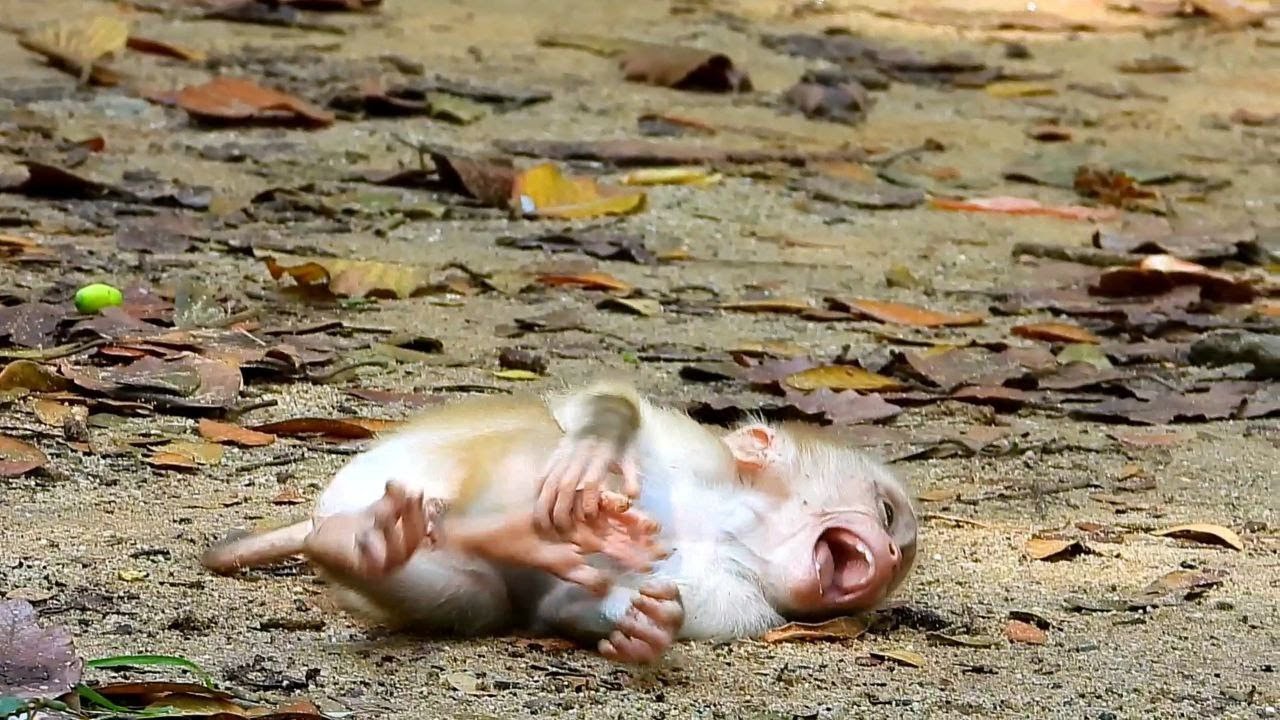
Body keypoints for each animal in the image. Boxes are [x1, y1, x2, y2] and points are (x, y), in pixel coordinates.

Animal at [201, 377, 919, 665]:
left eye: (895, 567)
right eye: (887, 513)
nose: (887, 556)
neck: (726, 527)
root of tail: (325, 515)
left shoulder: (749, 605)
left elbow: (568, 608)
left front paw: (649, 629)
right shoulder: (702, 455)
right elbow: (598, 407)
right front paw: (600, 440)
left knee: (473, 598)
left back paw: (368, 552)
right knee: (532, 446)